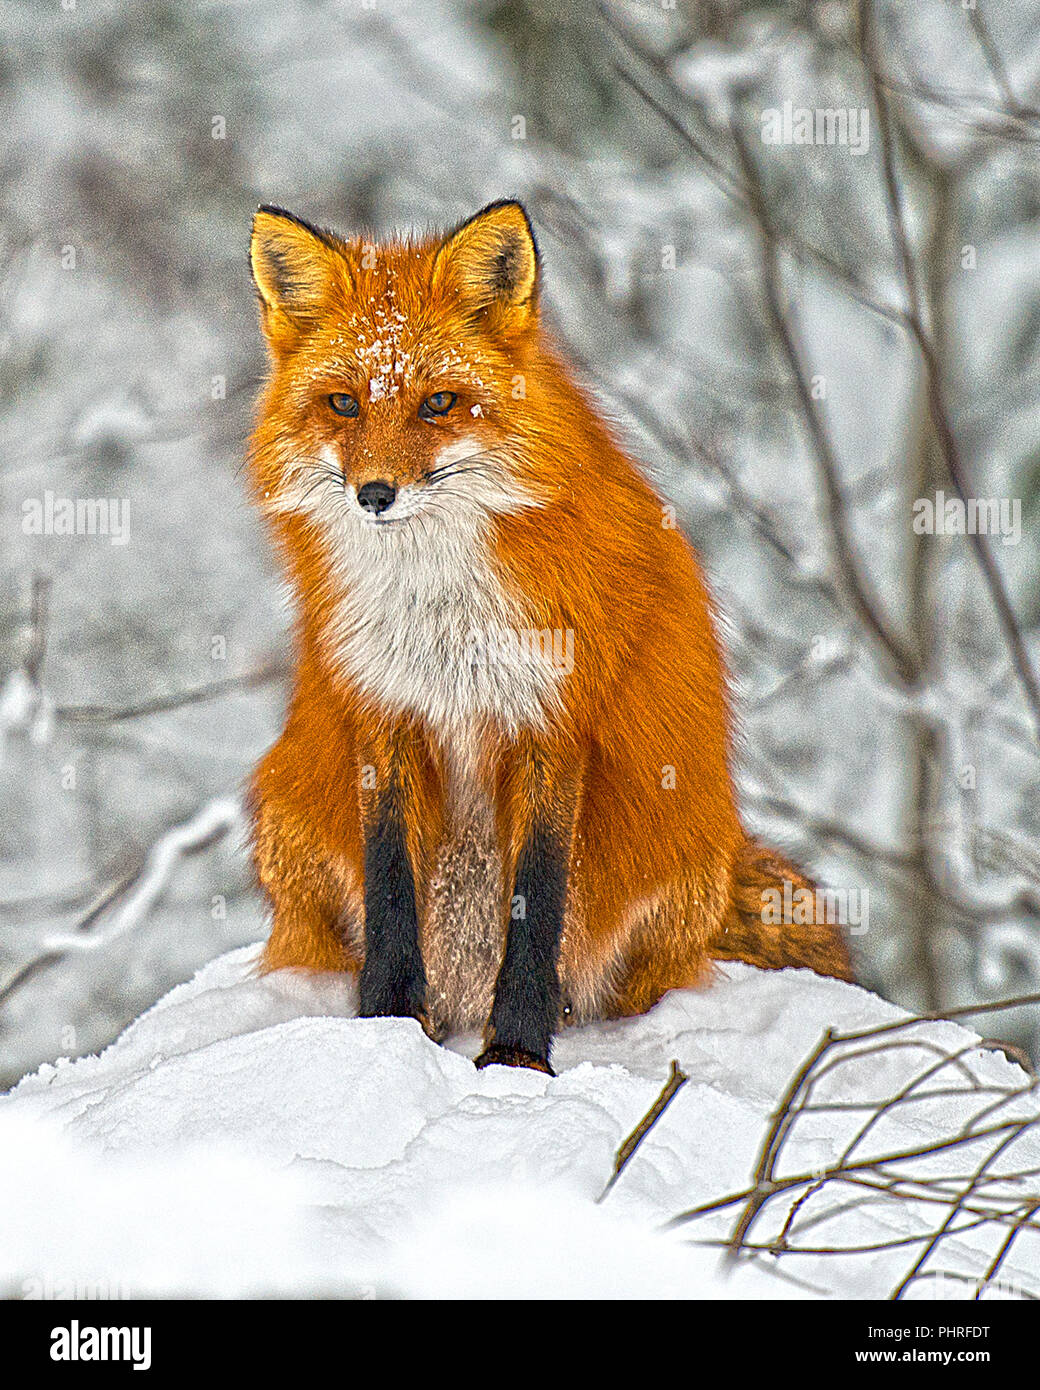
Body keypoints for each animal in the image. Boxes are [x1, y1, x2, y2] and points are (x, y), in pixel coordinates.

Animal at [245, 199, 853, 1075]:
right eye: (344, 404)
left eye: (438, 404)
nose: (375, 494)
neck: (440, 608)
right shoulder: (385, 715)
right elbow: (393, 896)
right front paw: (388, 1026)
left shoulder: (553, 724)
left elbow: (537, 908)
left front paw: (518, 1055)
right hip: (284, 808)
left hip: (680, 857)